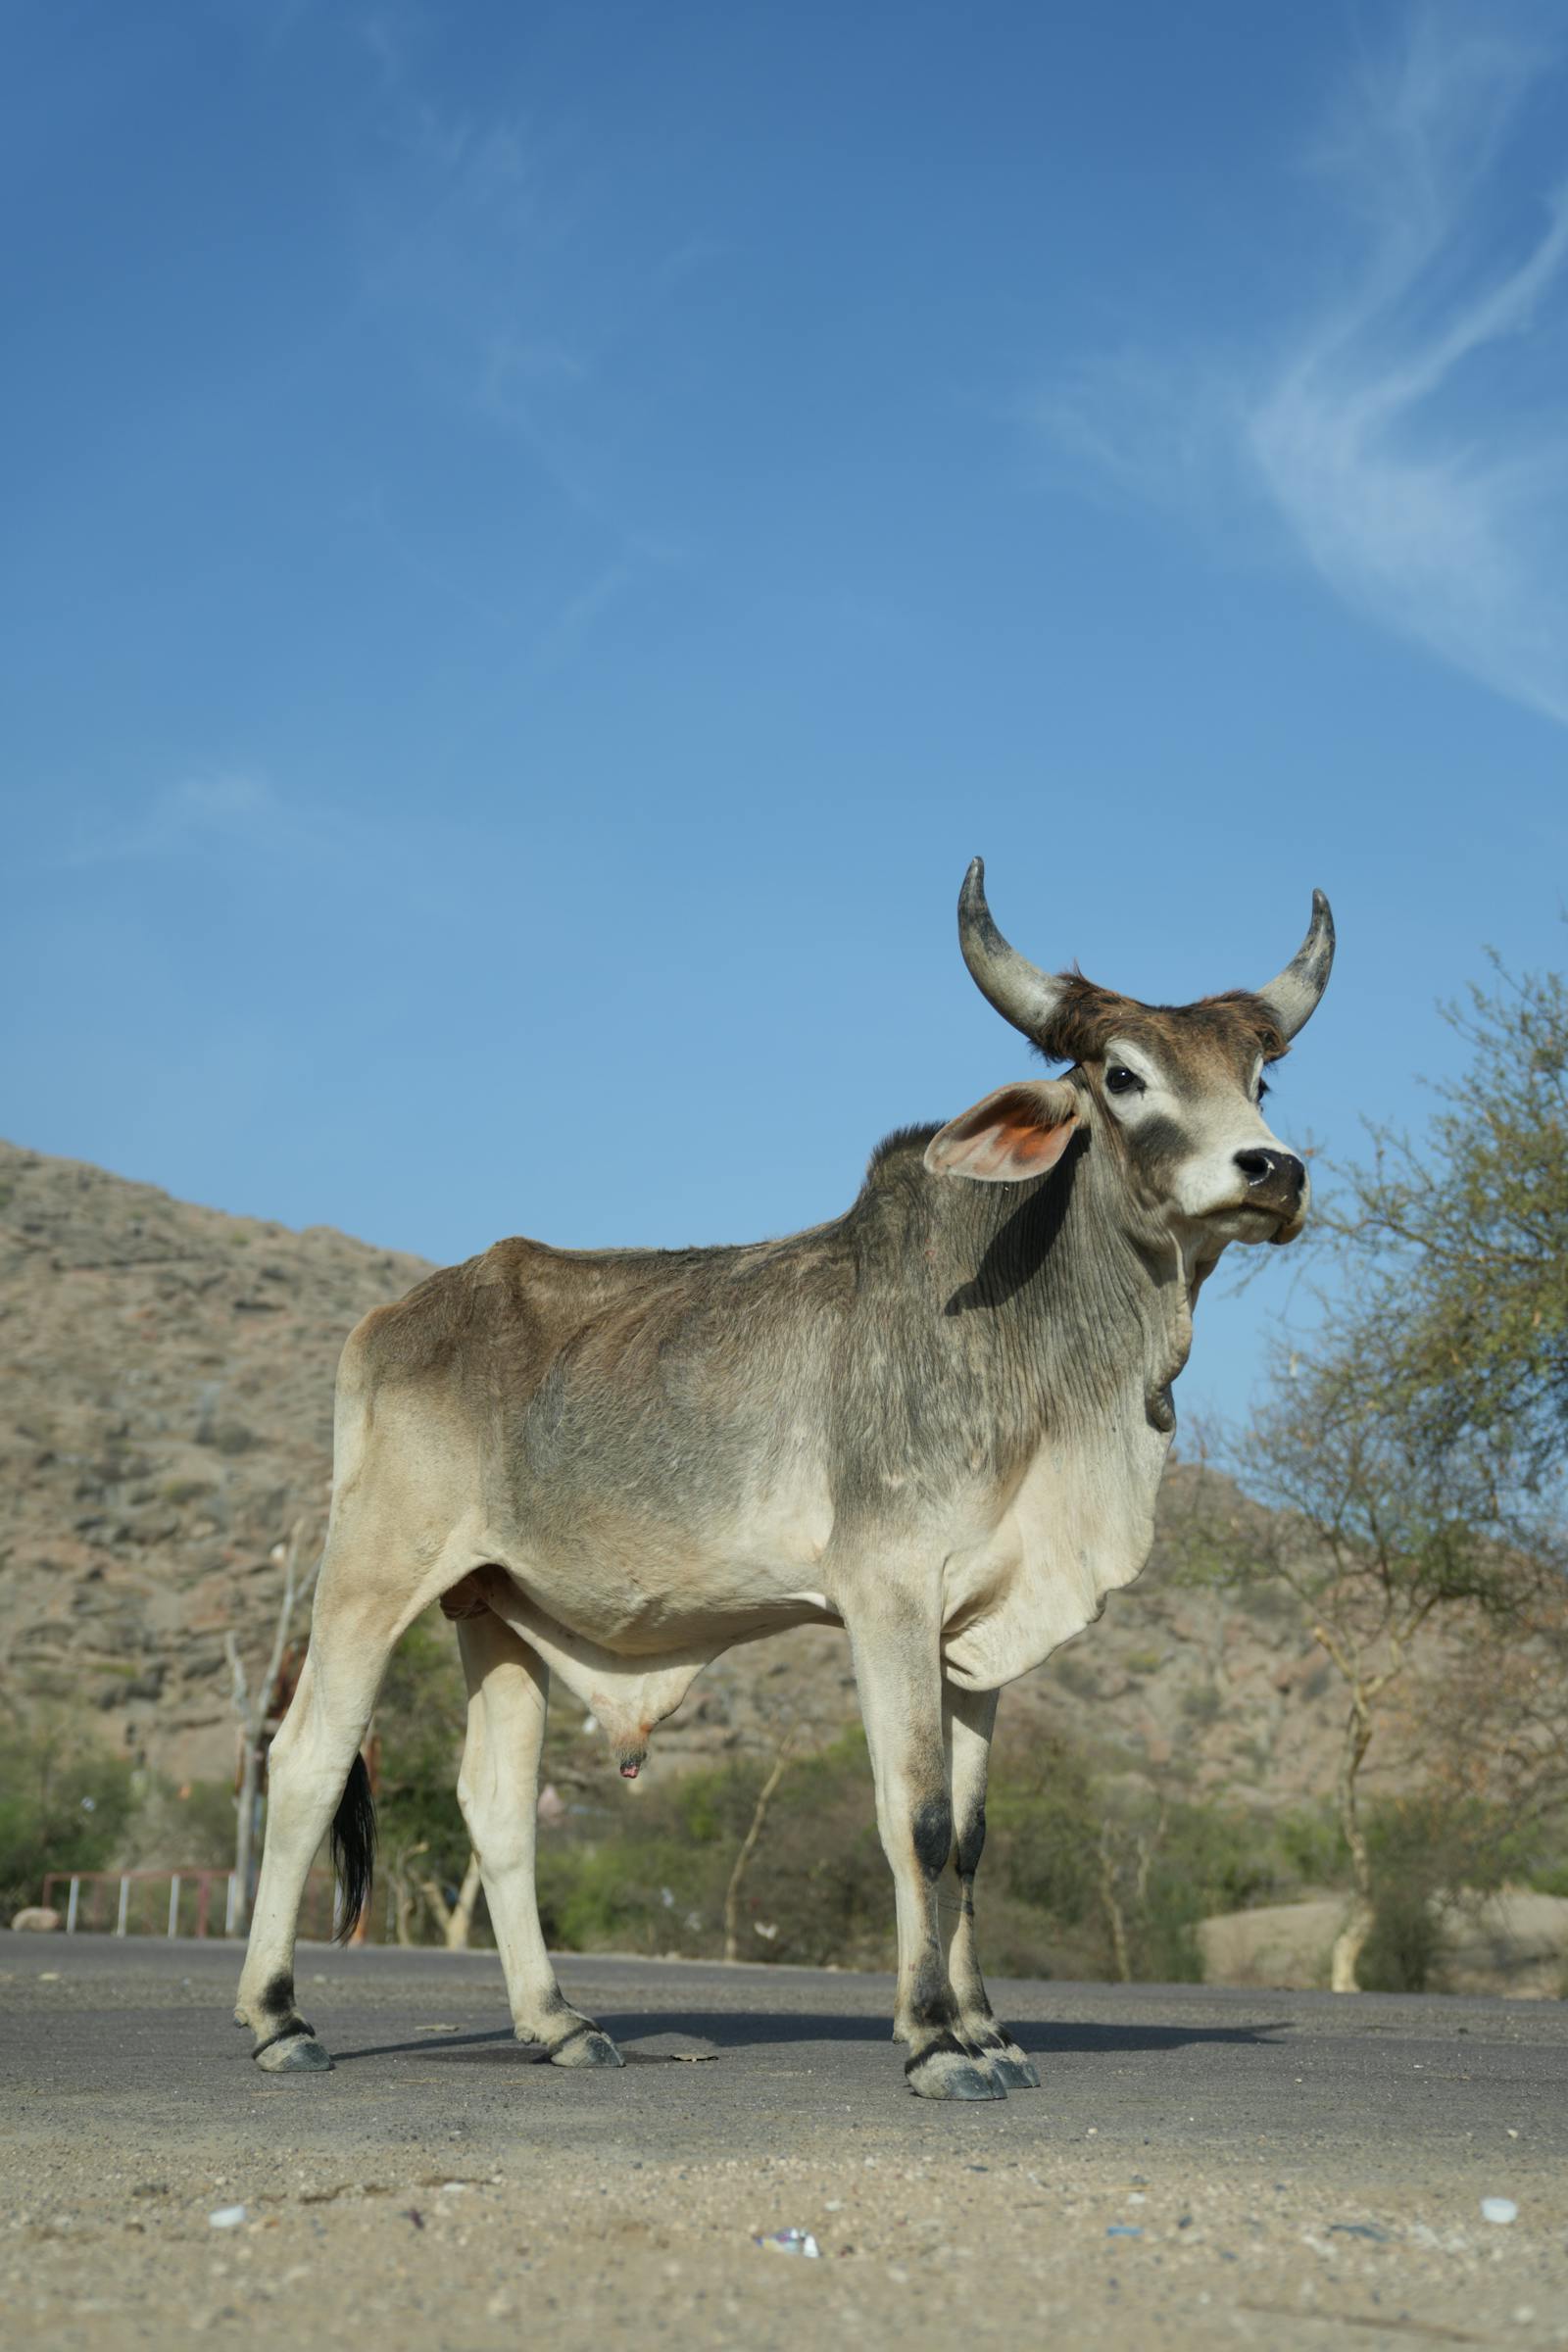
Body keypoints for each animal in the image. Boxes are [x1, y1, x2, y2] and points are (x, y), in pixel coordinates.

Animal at [235, 861, 1333, 2099]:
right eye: (1122, 1074)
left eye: (1258, 1077)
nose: (1272, 1170)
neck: (1045, 1356)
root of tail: (393, 1316)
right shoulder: (888, 1595)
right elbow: (916, 1818)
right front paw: (934, 2038)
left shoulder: (978, 1631)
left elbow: (970, 1837)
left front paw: (989, 2030)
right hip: (373, 1574)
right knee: (307, 1760)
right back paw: (278, 2017)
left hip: (495, 1611)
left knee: (497, 1805)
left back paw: (557, 2022)